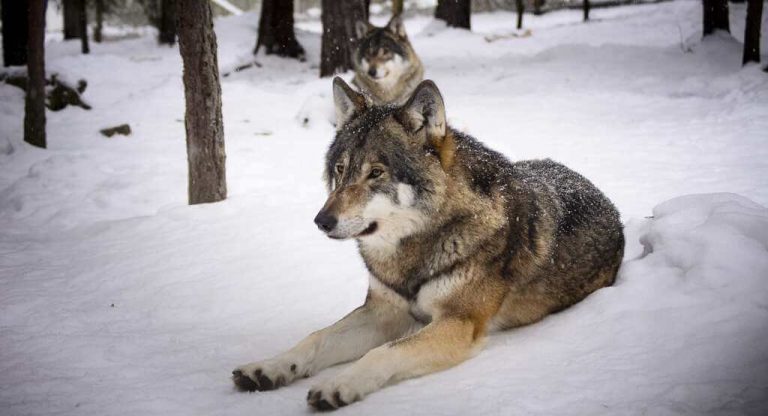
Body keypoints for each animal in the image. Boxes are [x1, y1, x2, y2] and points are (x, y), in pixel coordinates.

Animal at [232, 78, 625, 411]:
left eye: (376, 173)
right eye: (341, 170)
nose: (321, 221)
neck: (416, 247)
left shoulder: (458, 323)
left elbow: (381, 353)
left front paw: (338, 385)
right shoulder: (383, 311)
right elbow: (316, 337)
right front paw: (269, 367)